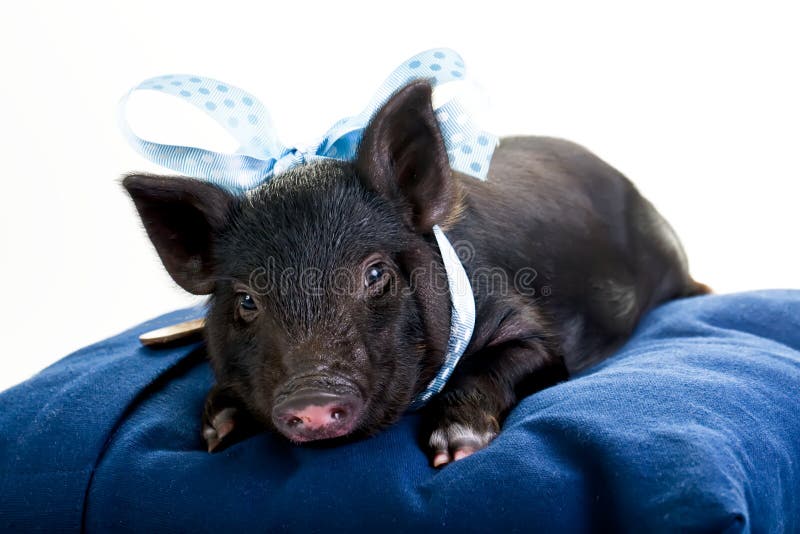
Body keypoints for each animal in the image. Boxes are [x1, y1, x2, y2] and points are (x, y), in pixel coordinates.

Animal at [123, 80, 707, 467]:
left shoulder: (531, 327)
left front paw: (454, 451)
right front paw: (216, 435)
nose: (311, 402)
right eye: (247, 299)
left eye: (375, 272)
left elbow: (511, 360)